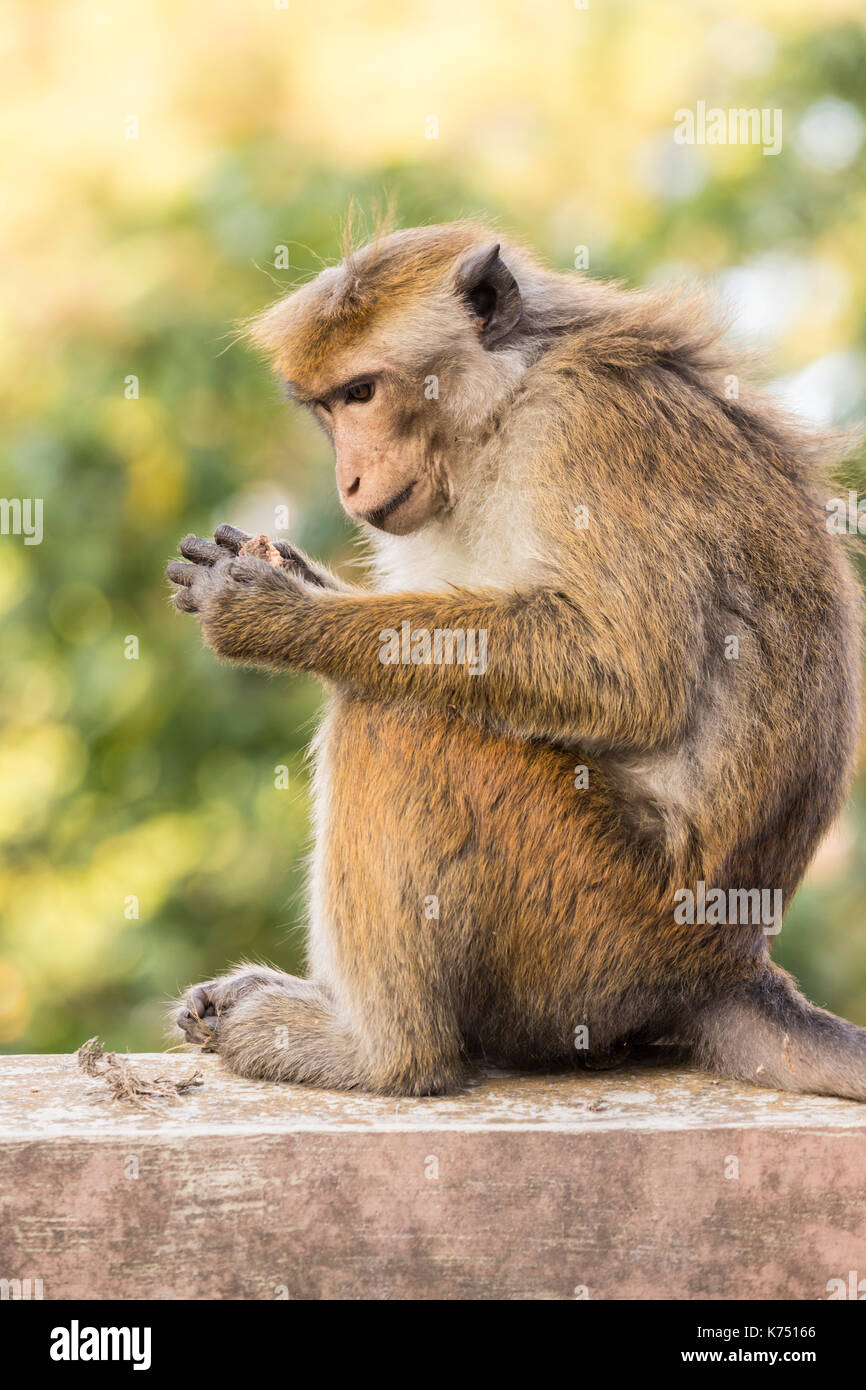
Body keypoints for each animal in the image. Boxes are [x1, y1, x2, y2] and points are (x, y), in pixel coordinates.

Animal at [166, 219, 866, 1101]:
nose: (350, 480)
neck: (505, 401)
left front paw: (279, 616)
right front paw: (295, 578)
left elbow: (629, 669)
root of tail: (726, 964)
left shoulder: (584, 426)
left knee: (398, 715)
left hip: (593, 926)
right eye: (328, 406)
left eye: (362, 393)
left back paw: (381, 1053)